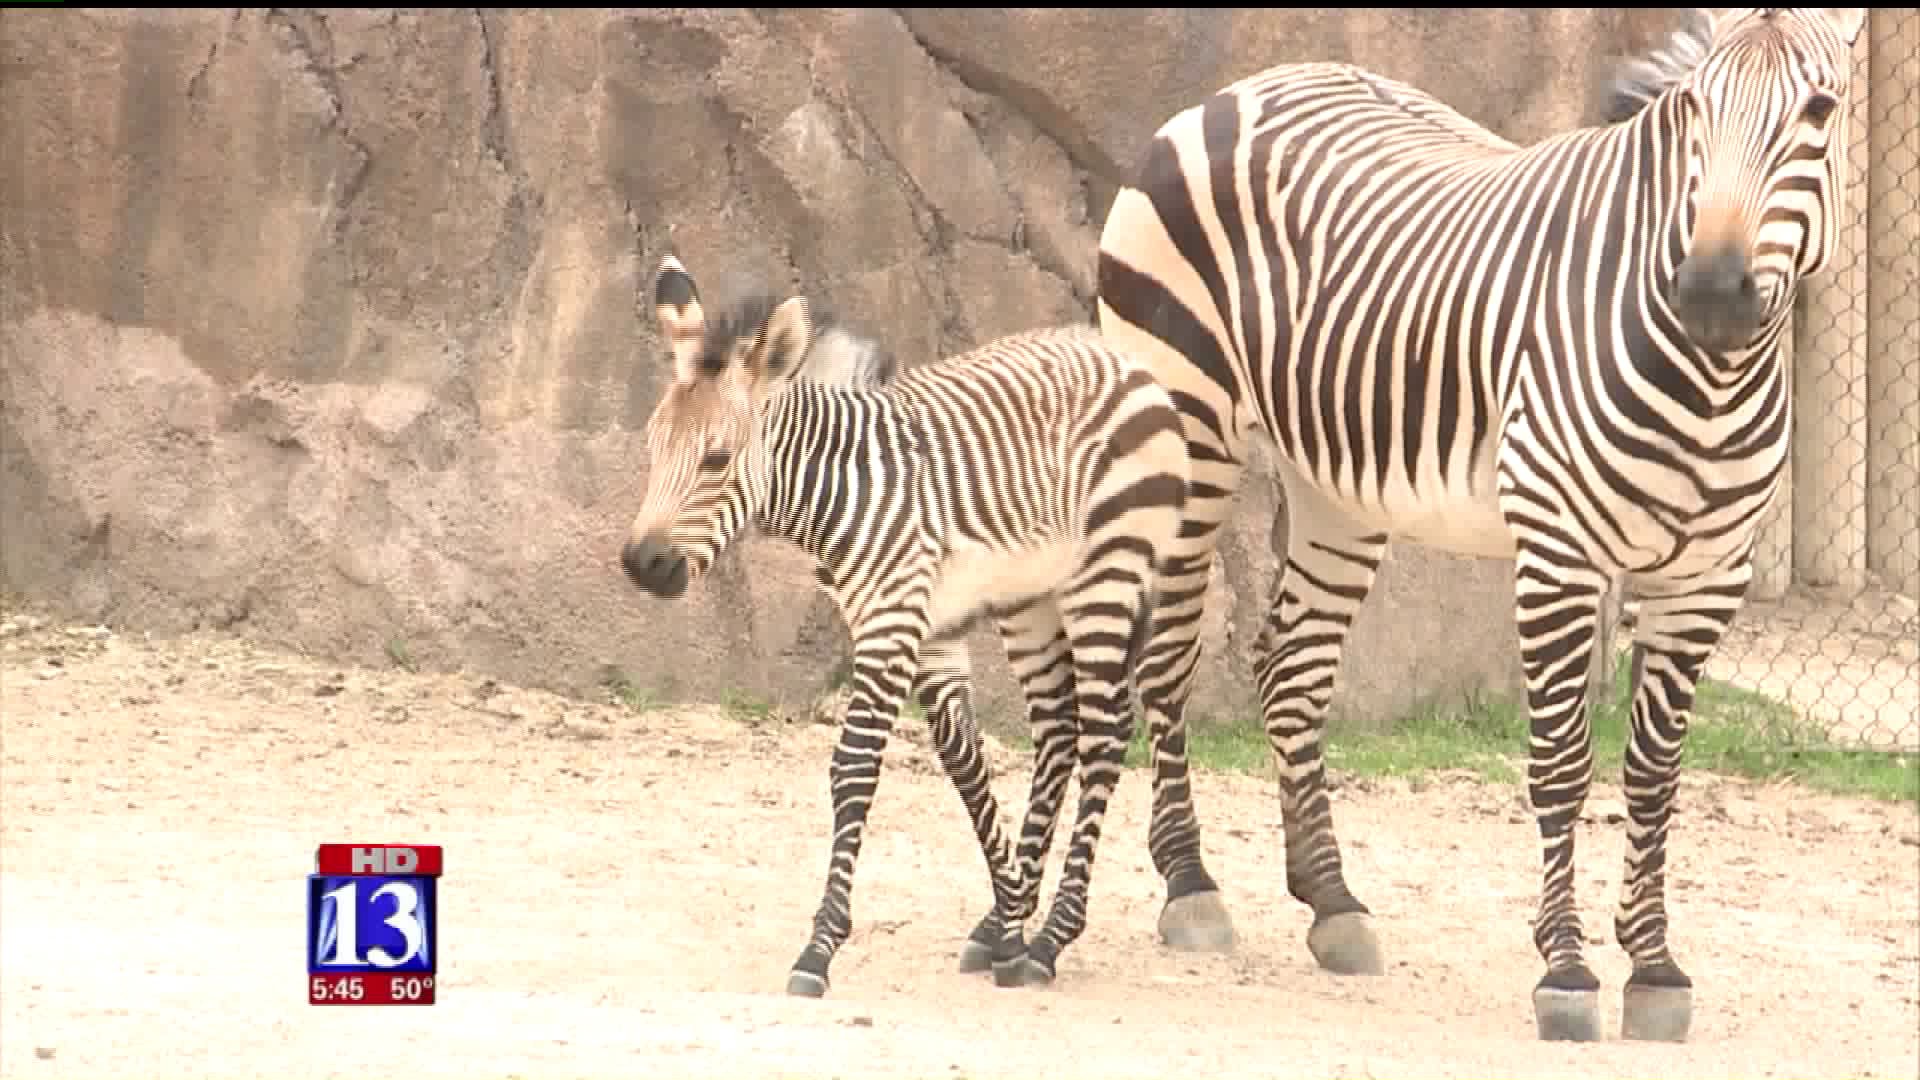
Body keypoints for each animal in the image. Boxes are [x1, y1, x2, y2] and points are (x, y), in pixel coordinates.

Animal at [620, 254, 1190, 997]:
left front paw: (820, 949)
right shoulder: (930, 630)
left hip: (1107, 575)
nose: (642, 565)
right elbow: (965, 764)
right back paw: (1019, 927)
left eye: (716, 459)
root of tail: (1121, 359)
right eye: (654, 446)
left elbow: (856, 767)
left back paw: (1054, 939)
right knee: (1060, 730)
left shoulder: (891, 624)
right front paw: (1008, 917)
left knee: (1105, 733)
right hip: (1030, 601)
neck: (843, 490)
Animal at [1093, 6, 1867, 1044]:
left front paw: (1656, 968)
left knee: (1290, 667)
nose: (1707, 292)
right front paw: (1568, 973)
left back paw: (1332, 902)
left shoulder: (1706, 578)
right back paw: (1190, 888)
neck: (1712, 378)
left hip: (1338, 483)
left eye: (1819, 110)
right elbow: (1563, 767)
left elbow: (1657, 776)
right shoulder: (1560, 555)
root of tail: (1240, 90)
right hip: (1186, 420)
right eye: (1696, 108)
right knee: (1170, 652)